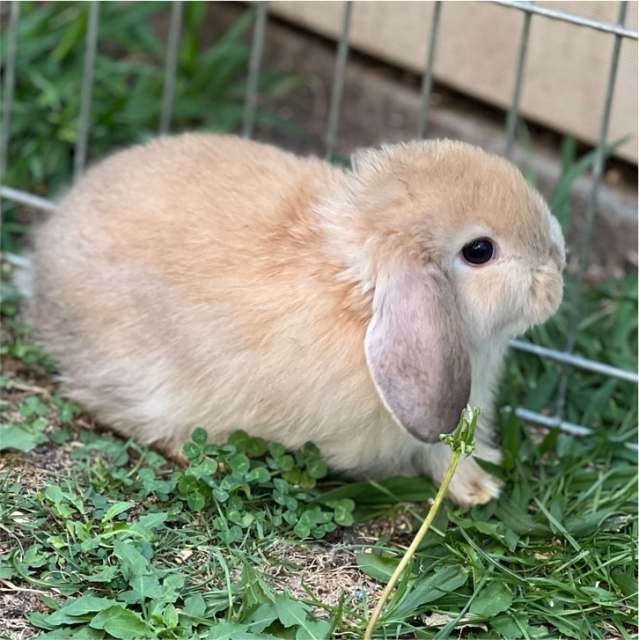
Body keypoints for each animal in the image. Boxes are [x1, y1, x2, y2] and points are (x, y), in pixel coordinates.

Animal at [26, 134, 565, 507]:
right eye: (480, 251)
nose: (558, 266)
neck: (360, 288)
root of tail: (42, 263)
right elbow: (439, 456)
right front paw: (480, 490)